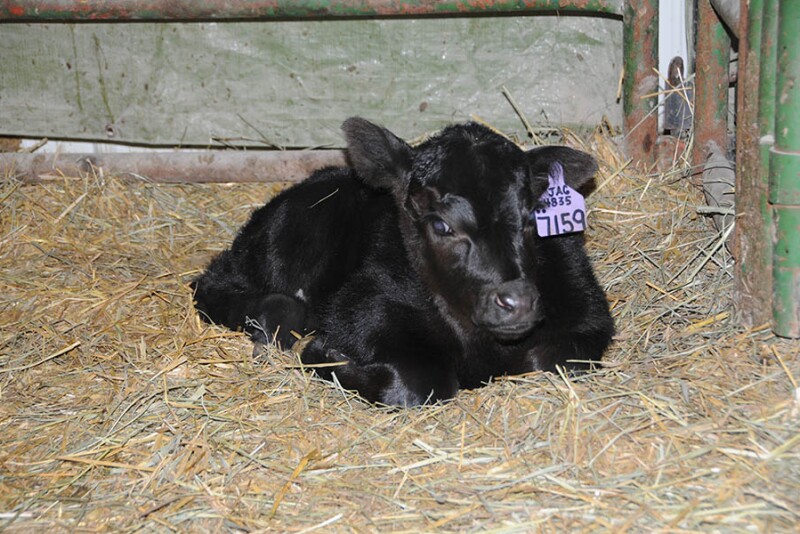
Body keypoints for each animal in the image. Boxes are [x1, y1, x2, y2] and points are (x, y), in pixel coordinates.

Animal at [192, 117, 614, 406]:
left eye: (530, 218)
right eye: (441, 224)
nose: (519, 302)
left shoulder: (587, 309)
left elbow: (553, 356)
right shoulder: (361, 309)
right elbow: (420, 382)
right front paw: (325, 356)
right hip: (284, 238)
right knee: (214, 284)